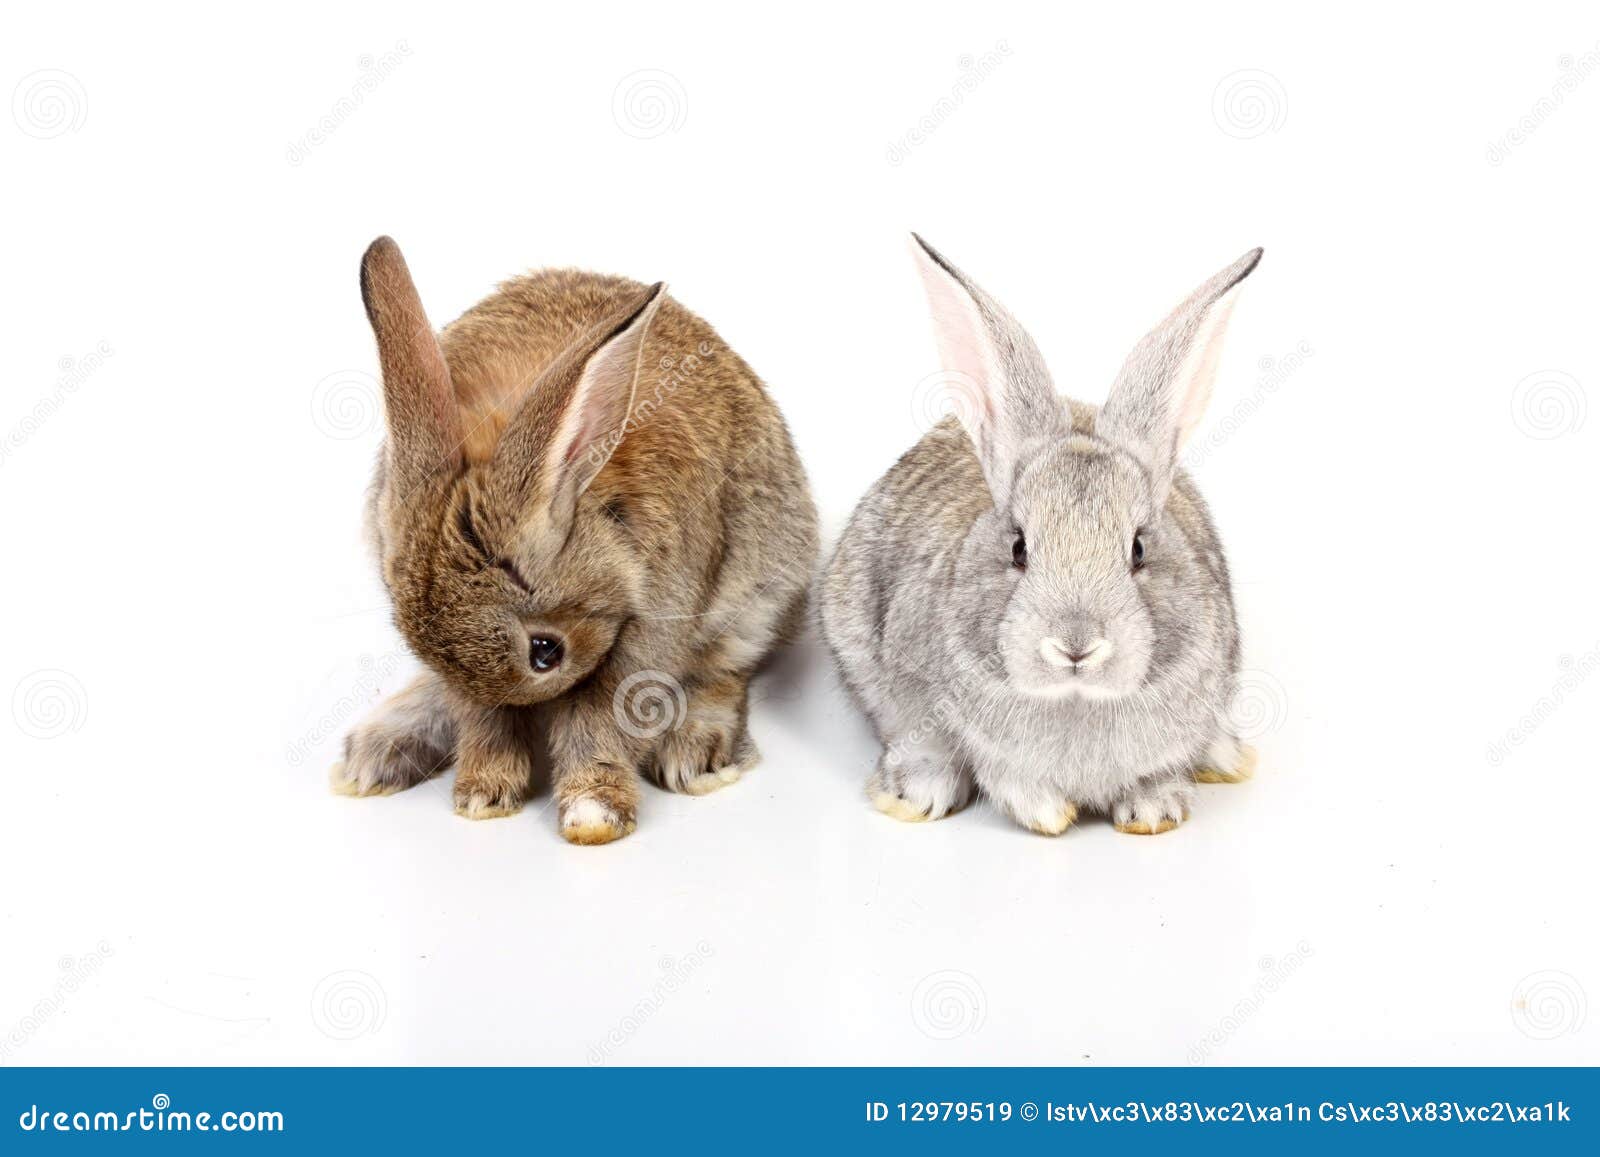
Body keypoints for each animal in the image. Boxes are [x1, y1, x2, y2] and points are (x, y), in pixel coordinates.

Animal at [330, 238, 818, 845]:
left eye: (547, 652)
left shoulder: (649, 630)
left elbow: (605, 711)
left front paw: (593, 815)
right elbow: (479, 713)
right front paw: (484, 794)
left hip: (758, 593)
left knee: (726, 668)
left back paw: (696, 753)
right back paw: (374, 751)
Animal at [818, 236, 1263, 836]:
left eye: (1139, 548)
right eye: (1019, 548)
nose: (1076, 646)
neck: (1076, 697)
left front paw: (1152, 812)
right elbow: (1001, 775)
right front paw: (1051, 814)